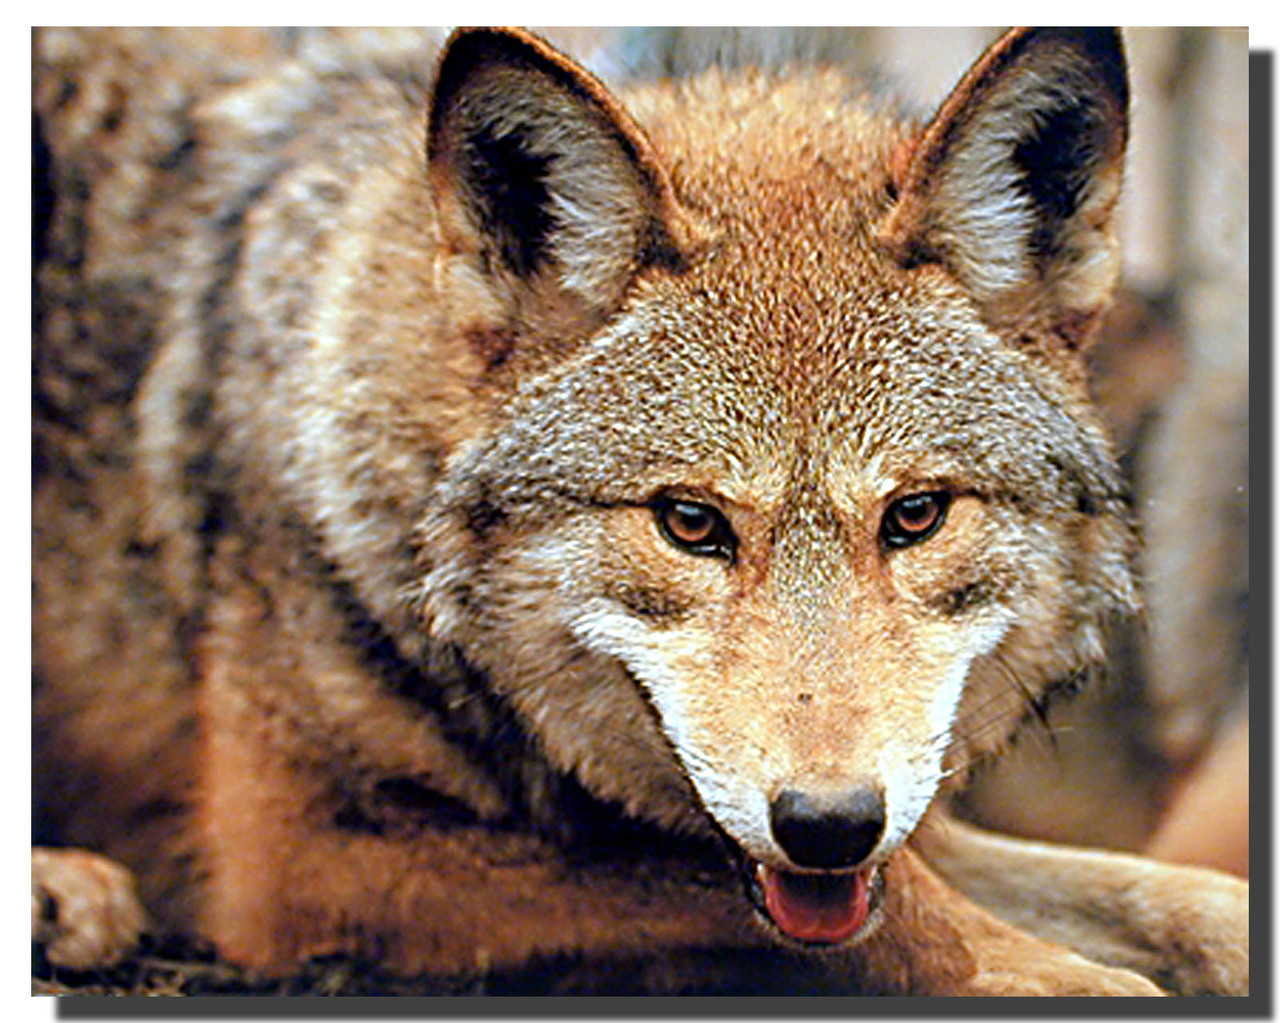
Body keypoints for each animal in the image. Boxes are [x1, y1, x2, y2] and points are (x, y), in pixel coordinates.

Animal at [32, 26, 1247, 995]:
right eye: (689, 523)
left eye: (913, 515)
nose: (825, 825)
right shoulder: (302, 861)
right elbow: (869, 914)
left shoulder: (906, 807)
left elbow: (1177, 894)